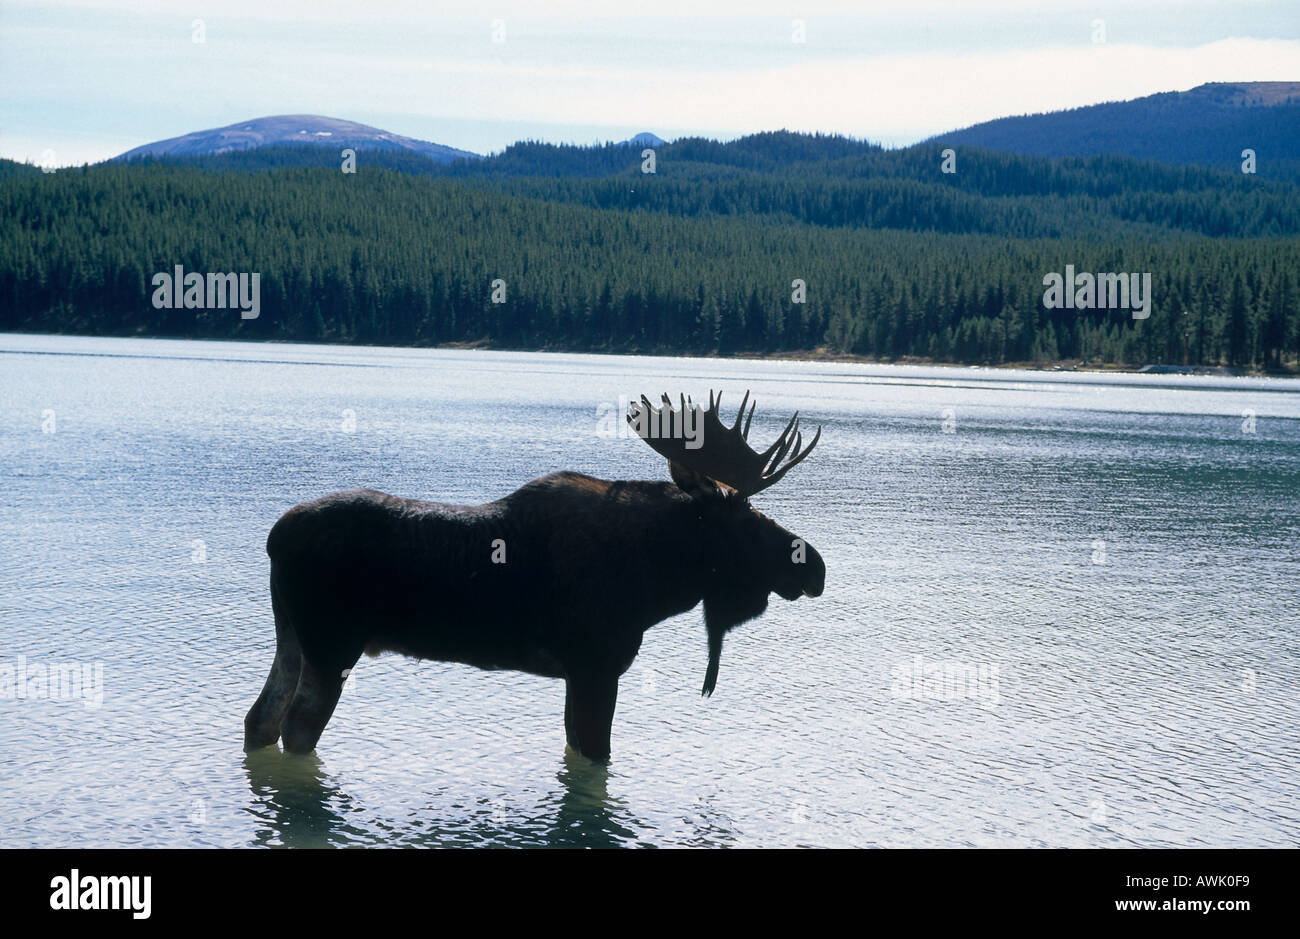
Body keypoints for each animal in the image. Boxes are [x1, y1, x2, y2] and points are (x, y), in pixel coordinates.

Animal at [243, 391, 825, 761]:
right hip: (333, 644)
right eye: (746, 520)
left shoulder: (580, 674)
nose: (815, 566)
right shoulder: (595, 667)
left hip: (291, 638)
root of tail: (274, 536)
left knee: (260, 719)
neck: (654, 581)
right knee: (297, 729)